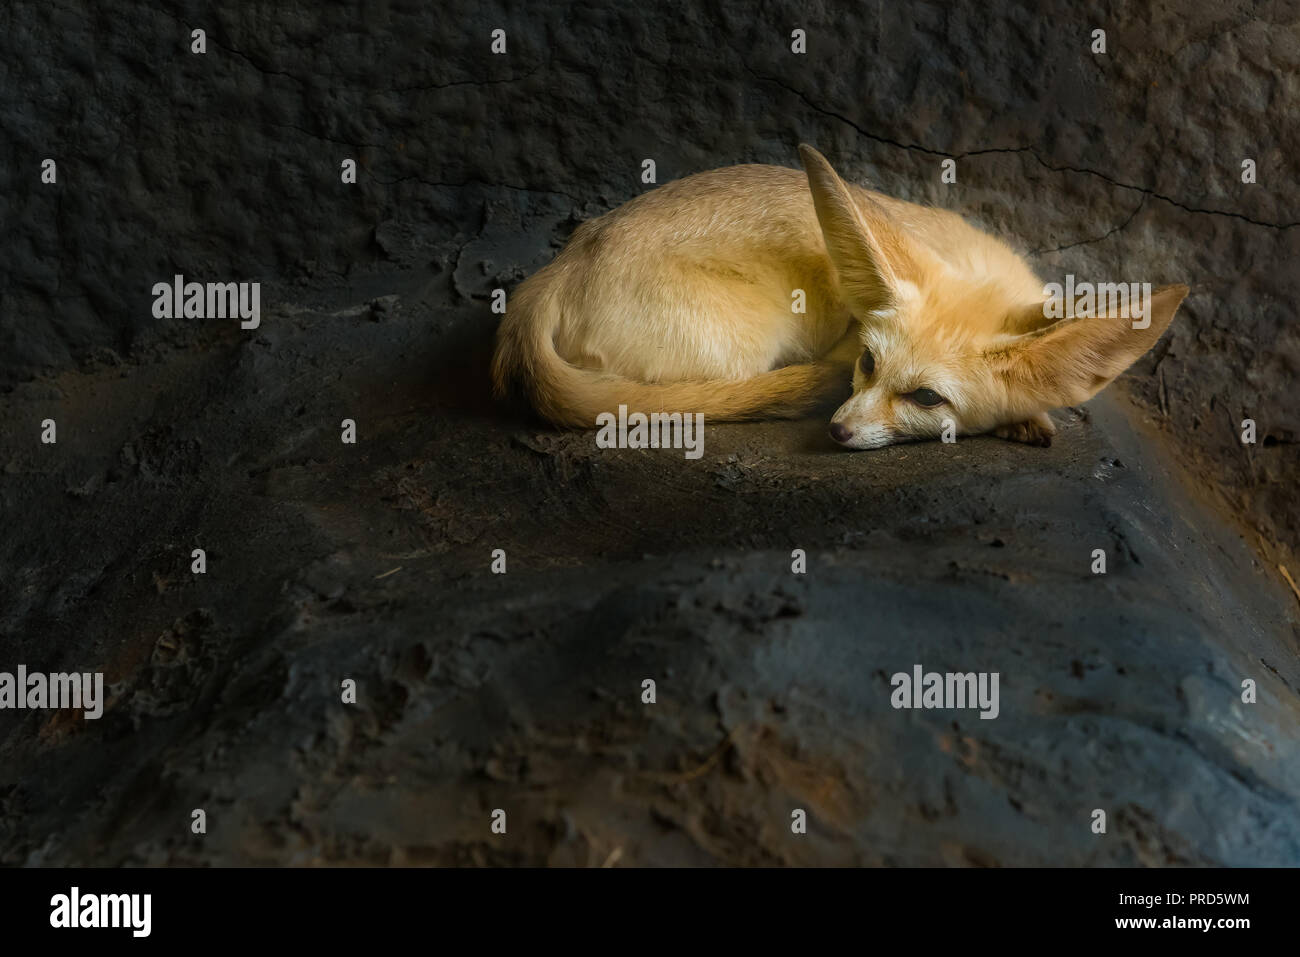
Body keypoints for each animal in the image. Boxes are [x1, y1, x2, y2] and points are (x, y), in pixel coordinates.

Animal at [491, 144, 1188, 449]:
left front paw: (1031, 415)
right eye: (868, 364)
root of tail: (560, 265)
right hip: (743, 350)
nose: (836, 429)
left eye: (926, 398)